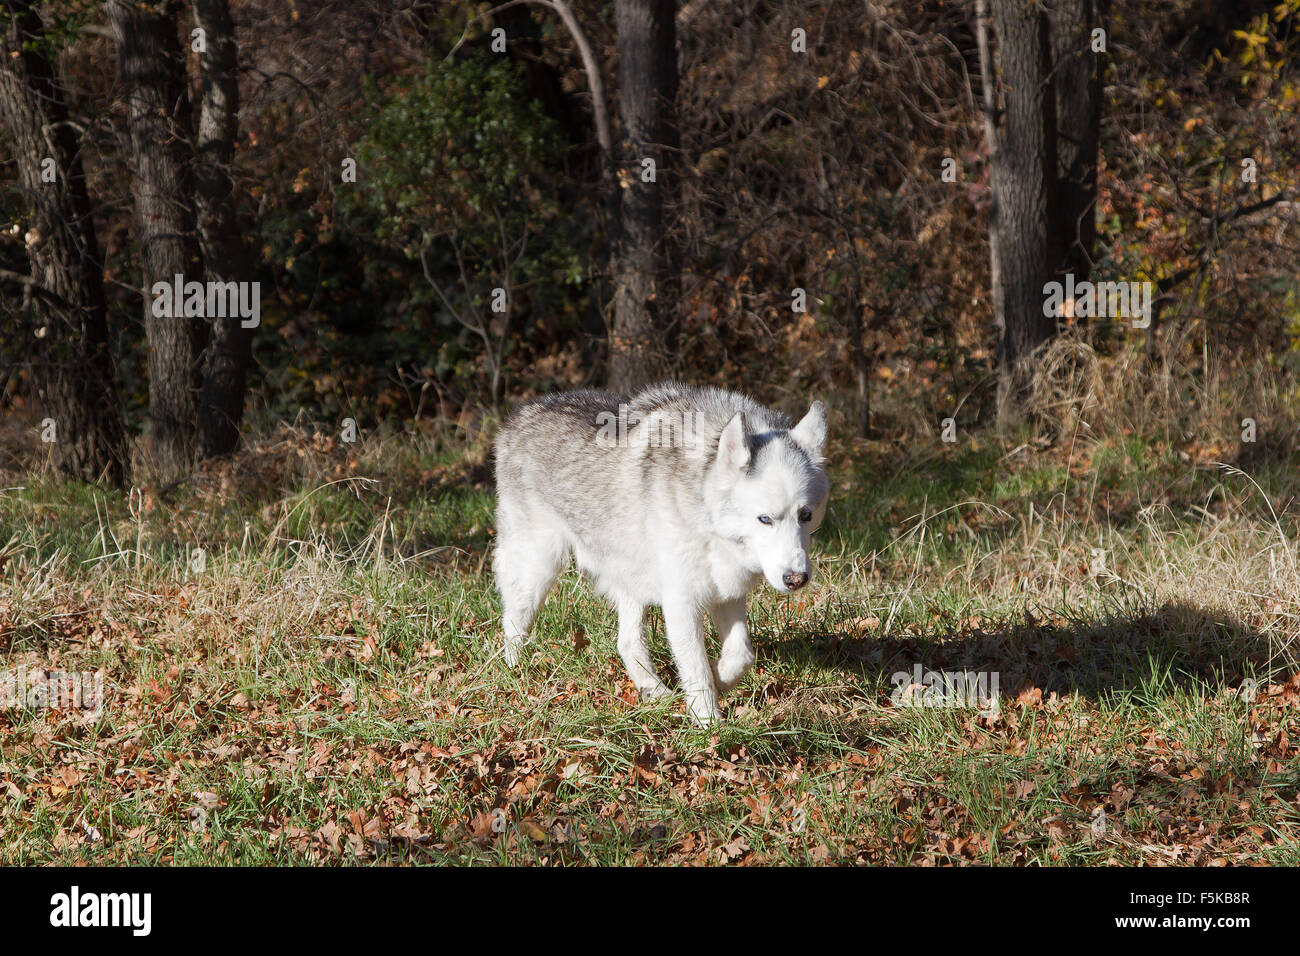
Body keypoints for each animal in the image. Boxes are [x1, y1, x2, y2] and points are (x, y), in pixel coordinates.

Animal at [492, 382, 829, 726]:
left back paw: (654, 692)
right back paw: (516, 674)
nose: (796, 579)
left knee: (626, 643)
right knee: (512, 624)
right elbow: (696, 669)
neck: (704, 512)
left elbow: (741, 655)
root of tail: (519, 415)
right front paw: (709, 726)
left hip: (631, 584)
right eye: (765, 519)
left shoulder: (727, 593)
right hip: (538, 572)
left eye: (805, 515)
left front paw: (719, 681)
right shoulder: (681, 603)